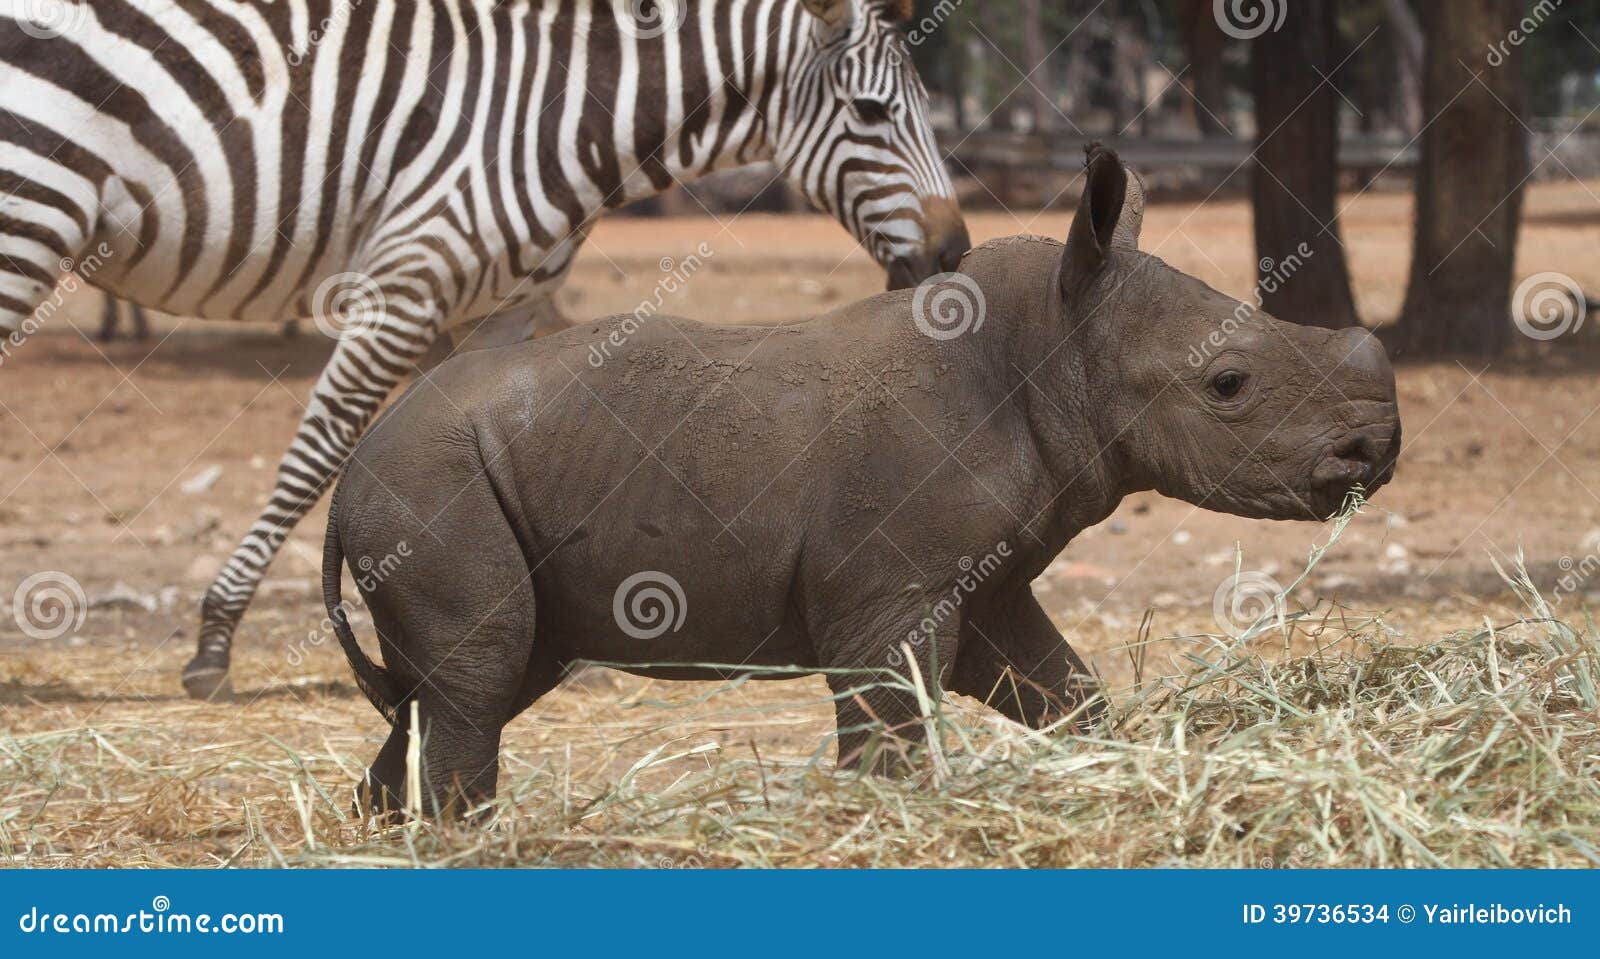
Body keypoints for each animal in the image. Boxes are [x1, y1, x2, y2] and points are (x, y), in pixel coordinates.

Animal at [323, 147, 1400, 816]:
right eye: (1228, 385)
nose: (1375, 450)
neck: (1053, 343)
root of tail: (351, 474)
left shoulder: (981, 578)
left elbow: (1059, 686)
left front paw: (1098, 763)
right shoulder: (889, 590)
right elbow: (889, 728)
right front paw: (882, 816)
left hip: (440, 477)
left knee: (473, 682)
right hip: (432, 481)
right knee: (480, 673)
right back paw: (466, 835)